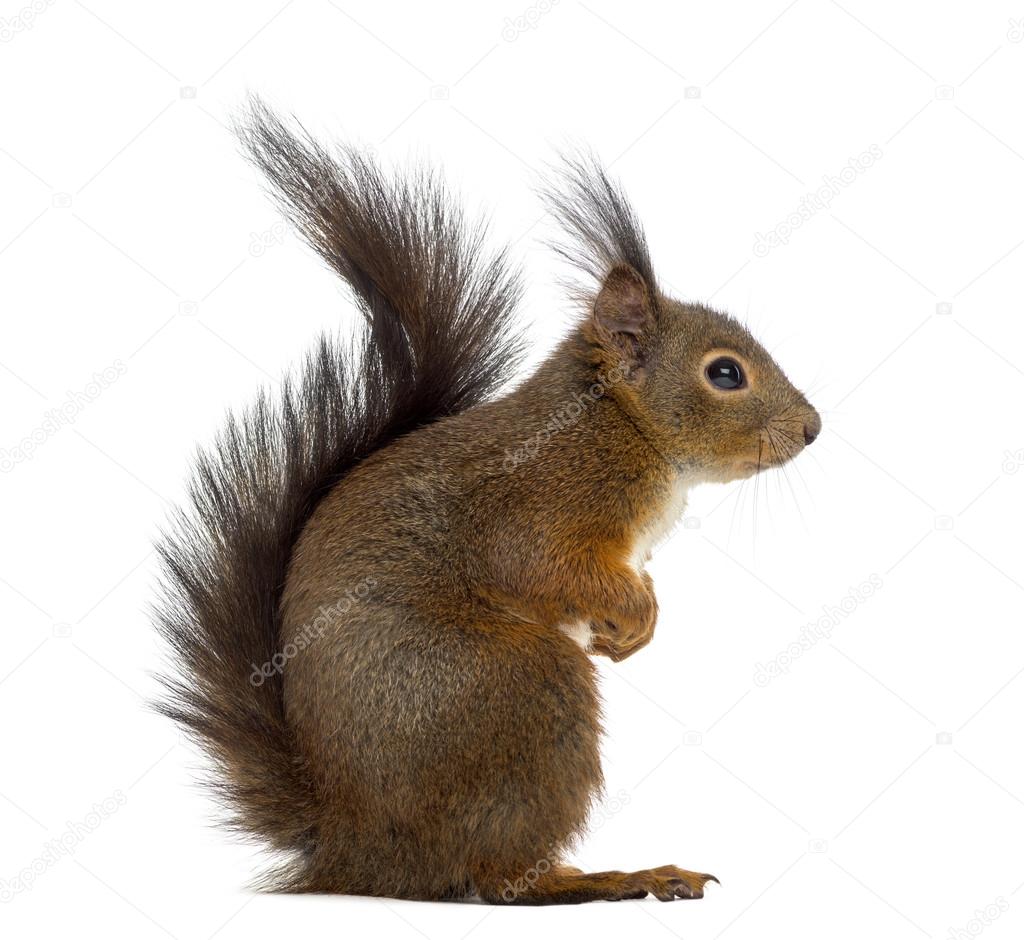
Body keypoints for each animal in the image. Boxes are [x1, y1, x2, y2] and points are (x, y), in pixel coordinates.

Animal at [155, 99, 821, 905]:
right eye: (725, 374)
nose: (814, 429)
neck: (621, 427)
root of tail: (355, 848)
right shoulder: (542, 502)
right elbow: (543, 567)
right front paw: (634, 614)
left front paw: (634, 630)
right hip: (521, 685)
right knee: (499, 878)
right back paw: (614, 876)